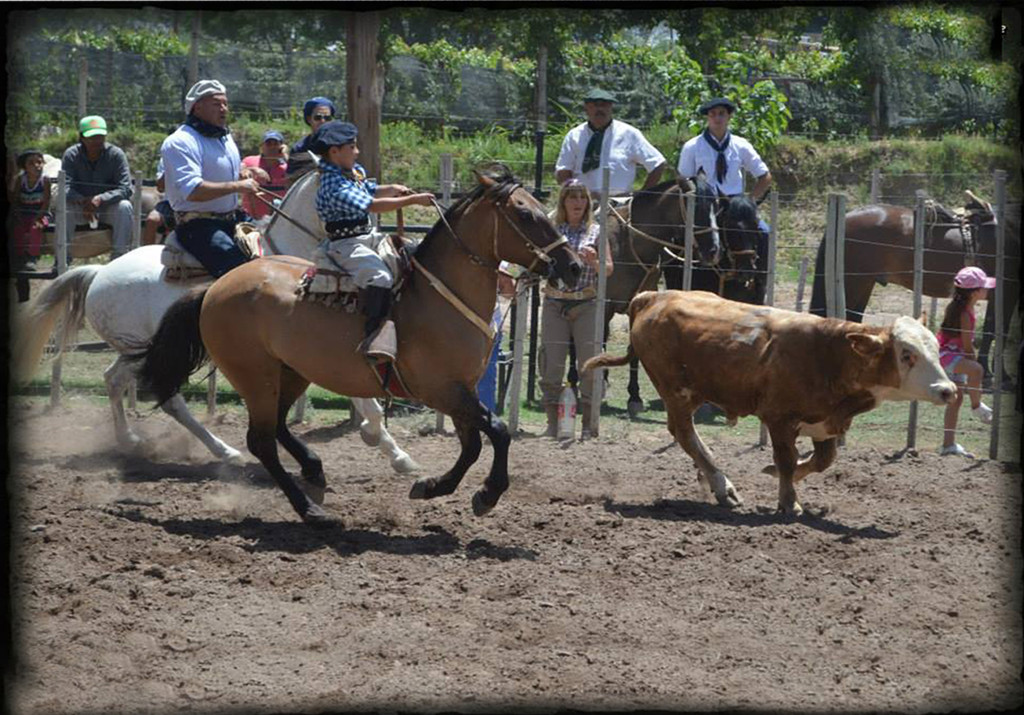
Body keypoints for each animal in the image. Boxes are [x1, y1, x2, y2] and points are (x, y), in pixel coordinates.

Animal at [9, 171, 417, 473]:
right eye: (351, 195)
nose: (382, 244)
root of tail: (98, 273)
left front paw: (385, 444)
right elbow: (364, 400)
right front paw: (391, 449)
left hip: (137, 351)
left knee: (115, 380)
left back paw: (135, 441)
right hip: (152, 351)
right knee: (165, 397)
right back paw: (222, 451)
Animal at [135, 165, 581, 524]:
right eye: (525, 213)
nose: (574, 266)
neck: (438, 296)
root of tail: (214, 289)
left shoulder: (461, 390)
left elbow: (473, 444)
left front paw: (432, 486)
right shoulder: (440, 389)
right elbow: (500, 431)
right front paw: (487, 494)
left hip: (289, 373)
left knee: (276, 427)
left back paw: (314, 472)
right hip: (255, 376)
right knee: (260, 441)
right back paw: (311, 510)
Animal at [585, 288, 958, 512]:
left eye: (935, 347)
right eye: (906, 354)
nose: (948, 390)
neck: (830, 355)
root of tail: (653, 296)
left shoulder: (825, 423)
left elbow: (821, 462)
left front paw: (777, 477)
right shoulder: (779, 418)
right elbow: (788, 460)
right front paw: (788, 502)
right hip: (676, 391)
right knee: (685, 434)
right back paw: (723, 487)